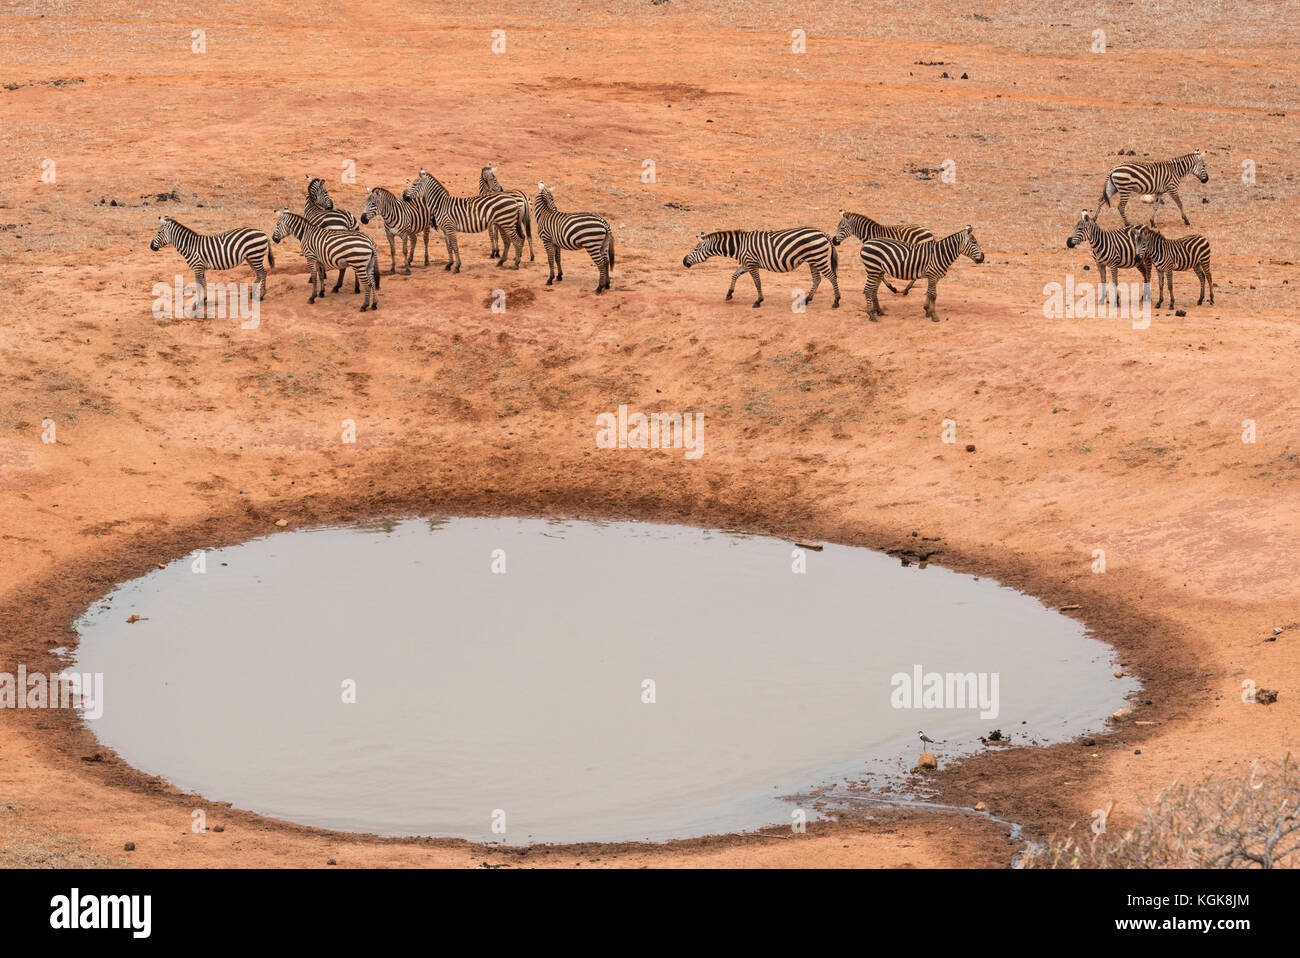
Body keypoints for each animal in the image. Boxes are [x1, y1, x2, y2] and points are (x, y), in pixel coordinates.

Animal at [681, 227, 838, 308]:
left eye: (695, 249)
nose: (683, 261)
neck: (739, 246)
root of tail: (823, 233)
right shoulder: (746, 263)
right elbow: (734, 275)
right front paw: (729, 294)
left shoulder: (751, 263)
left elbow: (757, 282)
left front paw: (758, 301)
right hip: (813, 260)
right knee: (817, 279)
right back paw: (808, 299)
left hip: (818, 258)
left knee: (832, 277)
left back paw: (836, 301)